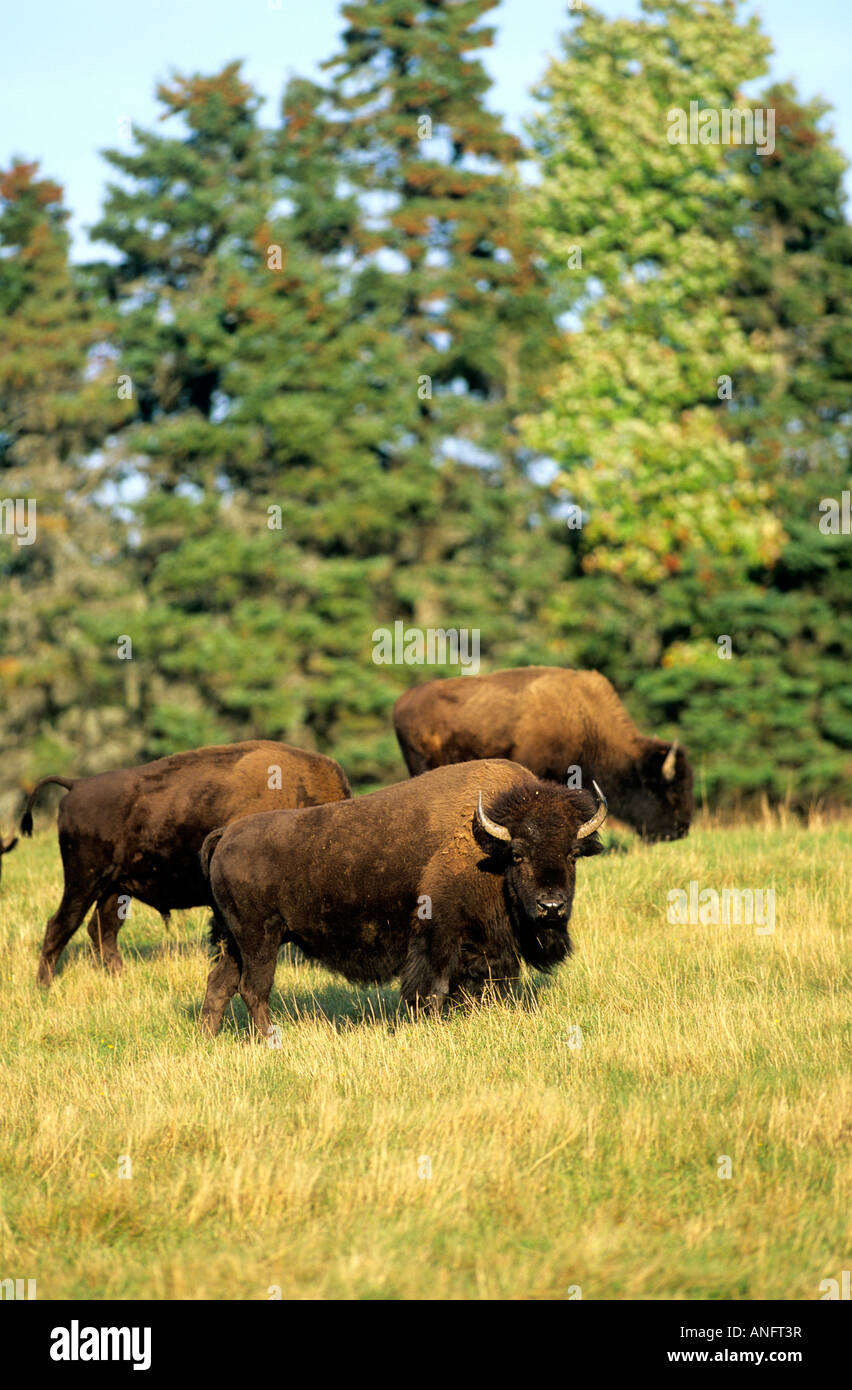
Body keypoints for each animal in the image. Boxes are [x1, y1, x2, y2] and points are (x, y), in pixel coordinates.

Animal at [21, 741, 351, 985]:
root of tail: (76, 786)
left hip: (115, 888)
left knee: (102, 929)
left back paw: (119, 977)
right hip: (83, 881)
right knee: (61, 924)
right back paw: (44, 986)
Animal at [198, 759, 607, 1037]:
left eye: (572, 853)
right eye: (519, 854)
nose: (551, 906)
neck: (490, 849)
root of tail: (227, 833)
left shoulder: (485, 948)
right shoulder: (438, 937)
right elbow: (433, 990)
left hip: (235, 941)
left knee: (221, 985)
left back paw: (209, 1040)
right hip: (260, 938)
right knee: (254, 989)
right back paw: (271, 1041)